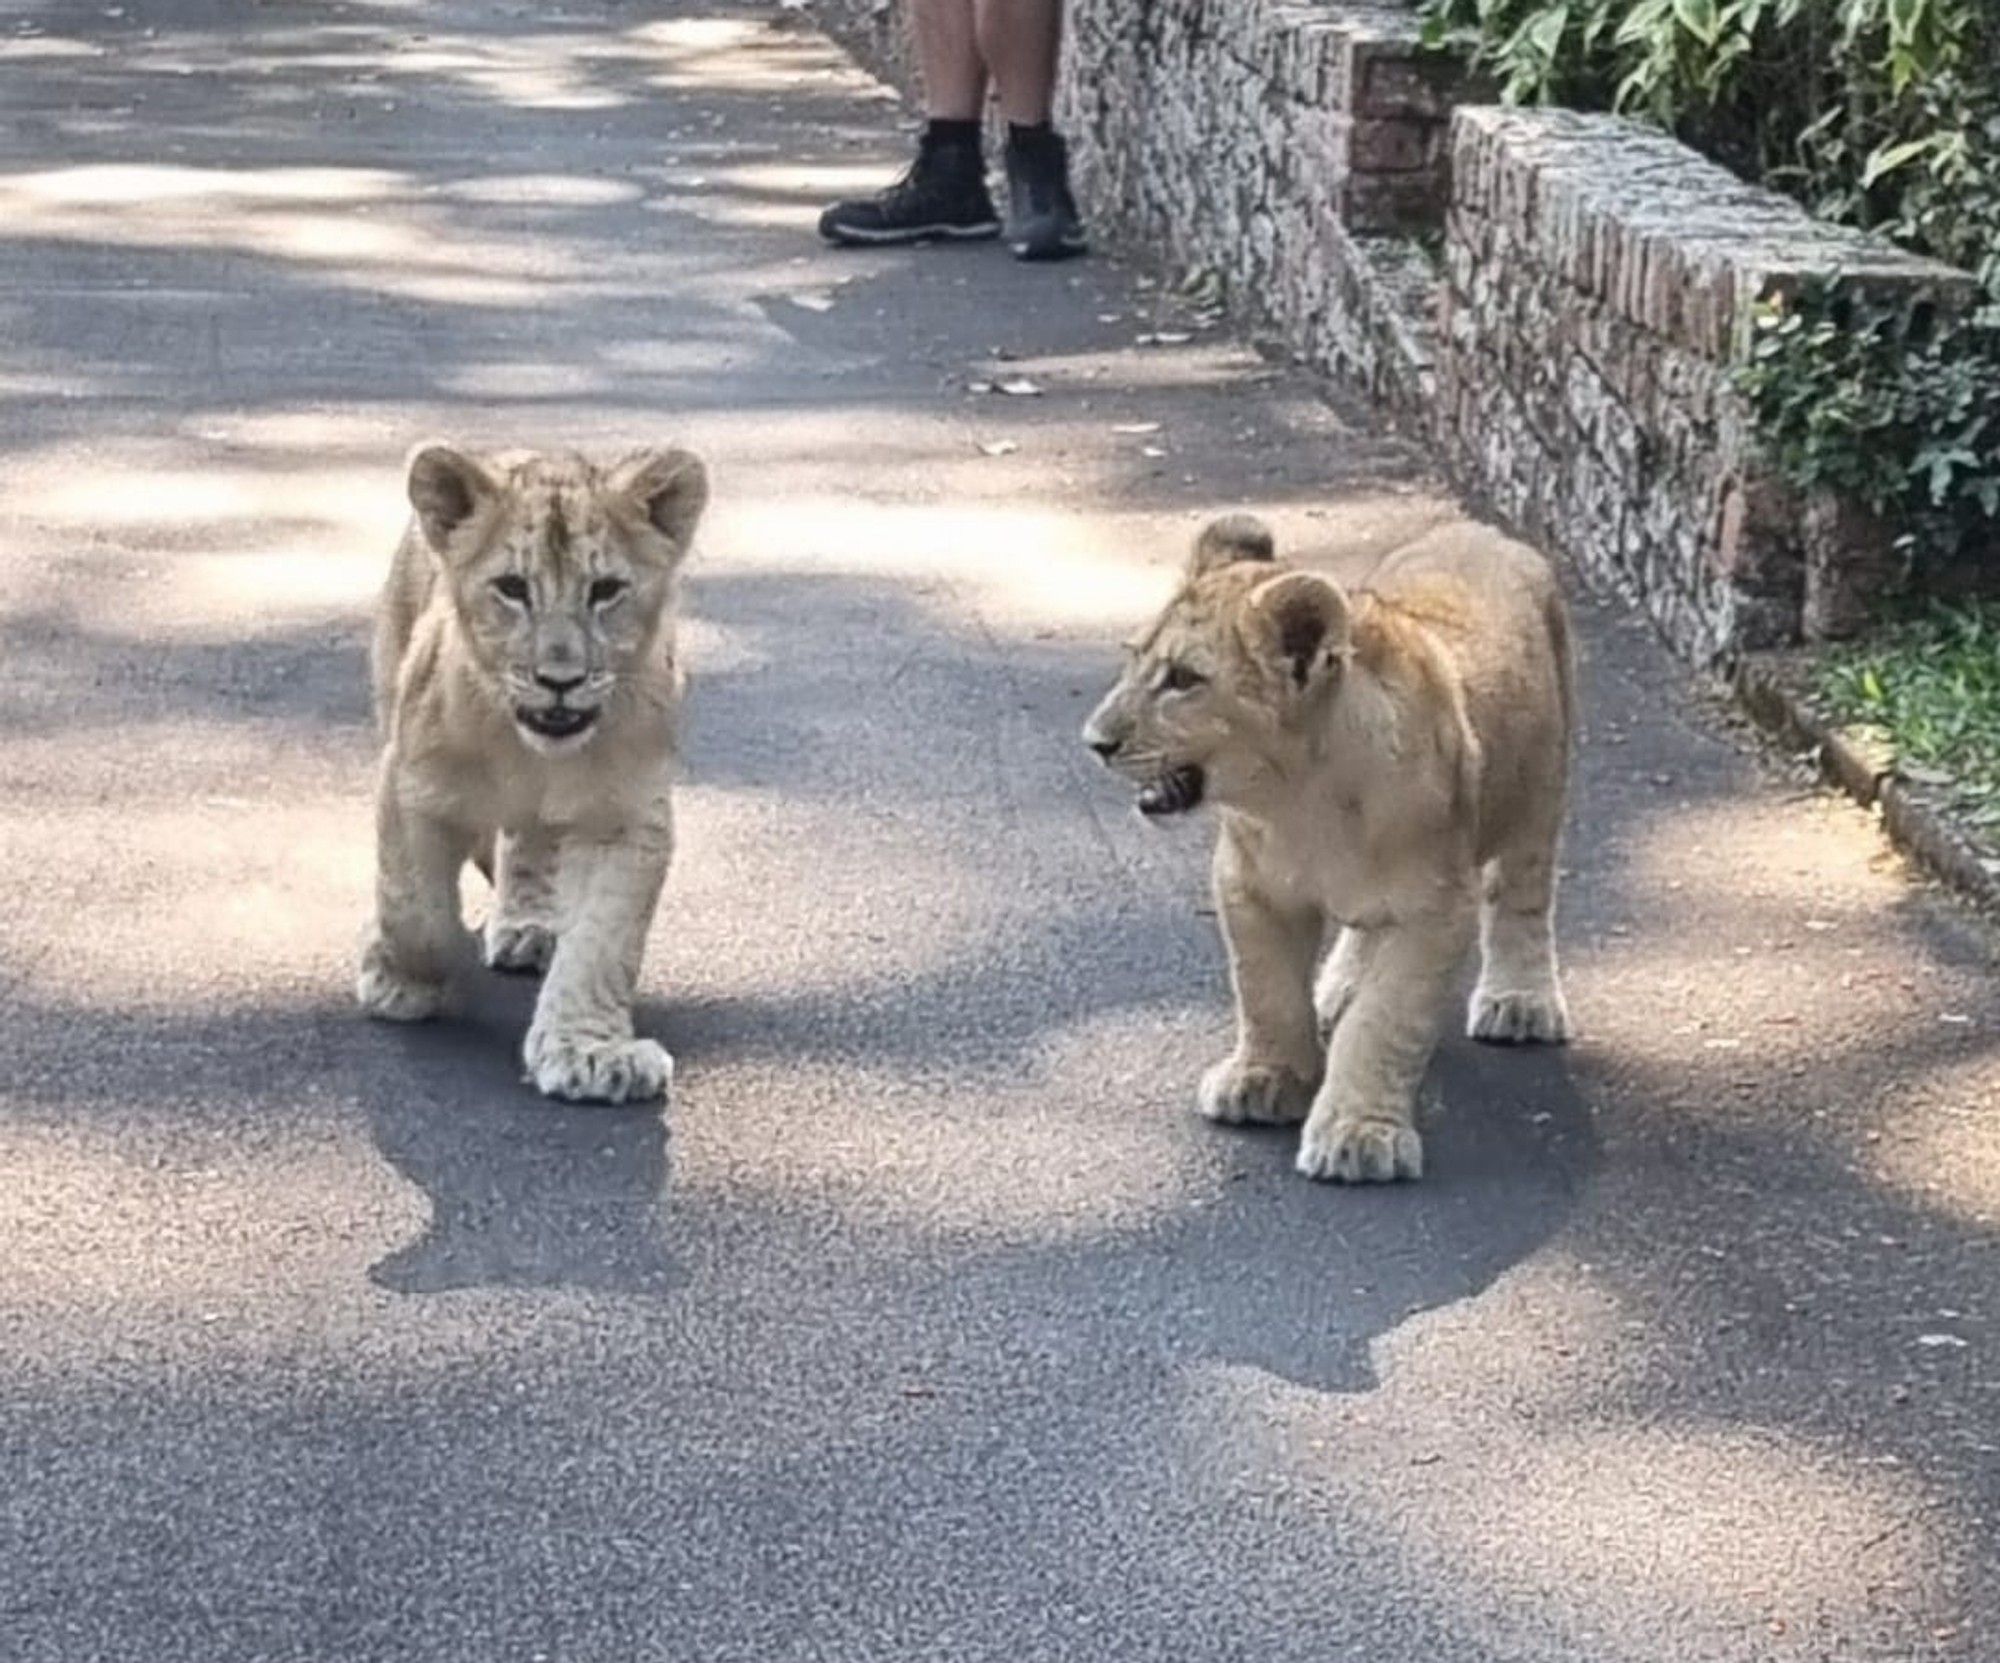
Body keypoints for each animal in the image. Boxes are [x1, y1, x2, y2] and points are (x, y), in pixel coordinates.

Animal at [355, 442, 708, 1105]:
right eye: (513, 588)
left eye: (606, 590)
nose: (559, 680)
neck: (536, 754)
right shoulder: (411, 783)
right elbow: (415, 907)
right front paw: (398, 980)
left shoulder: (630, 820)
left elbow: (603, 944)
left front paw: (590, 1054)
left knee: (531, 842)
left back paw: (529, 923)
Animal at [1082, 513, 1574, 1182]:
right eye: (1134, 661)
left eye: (1183, 680)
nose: (1094, 742)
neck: (1299, 801)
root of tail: (1481, 530)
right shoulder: (1248, 886)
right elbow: (1264, 990)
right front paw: (1264, 1079)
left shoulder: (1436, 909)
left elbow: (1384, 1021)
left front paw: (1357, 1134)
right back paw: (1337, 989)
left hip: (1539, 791)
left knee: (1523, 896)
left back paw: (1519, 1000)